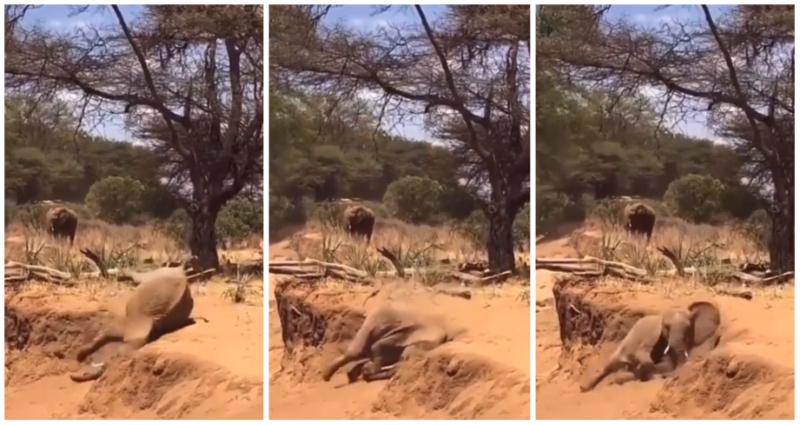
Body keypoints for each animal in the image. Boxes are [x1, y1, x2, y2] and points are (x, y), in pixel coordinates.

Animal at [580, 302, 721, 392]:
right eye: (666, 327)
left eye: (688, 328)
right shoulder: (653, 336)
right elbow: (643, 355)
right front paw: (655, 375)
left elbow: (667, 363)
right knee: (609, 366)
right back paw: (585, 388)